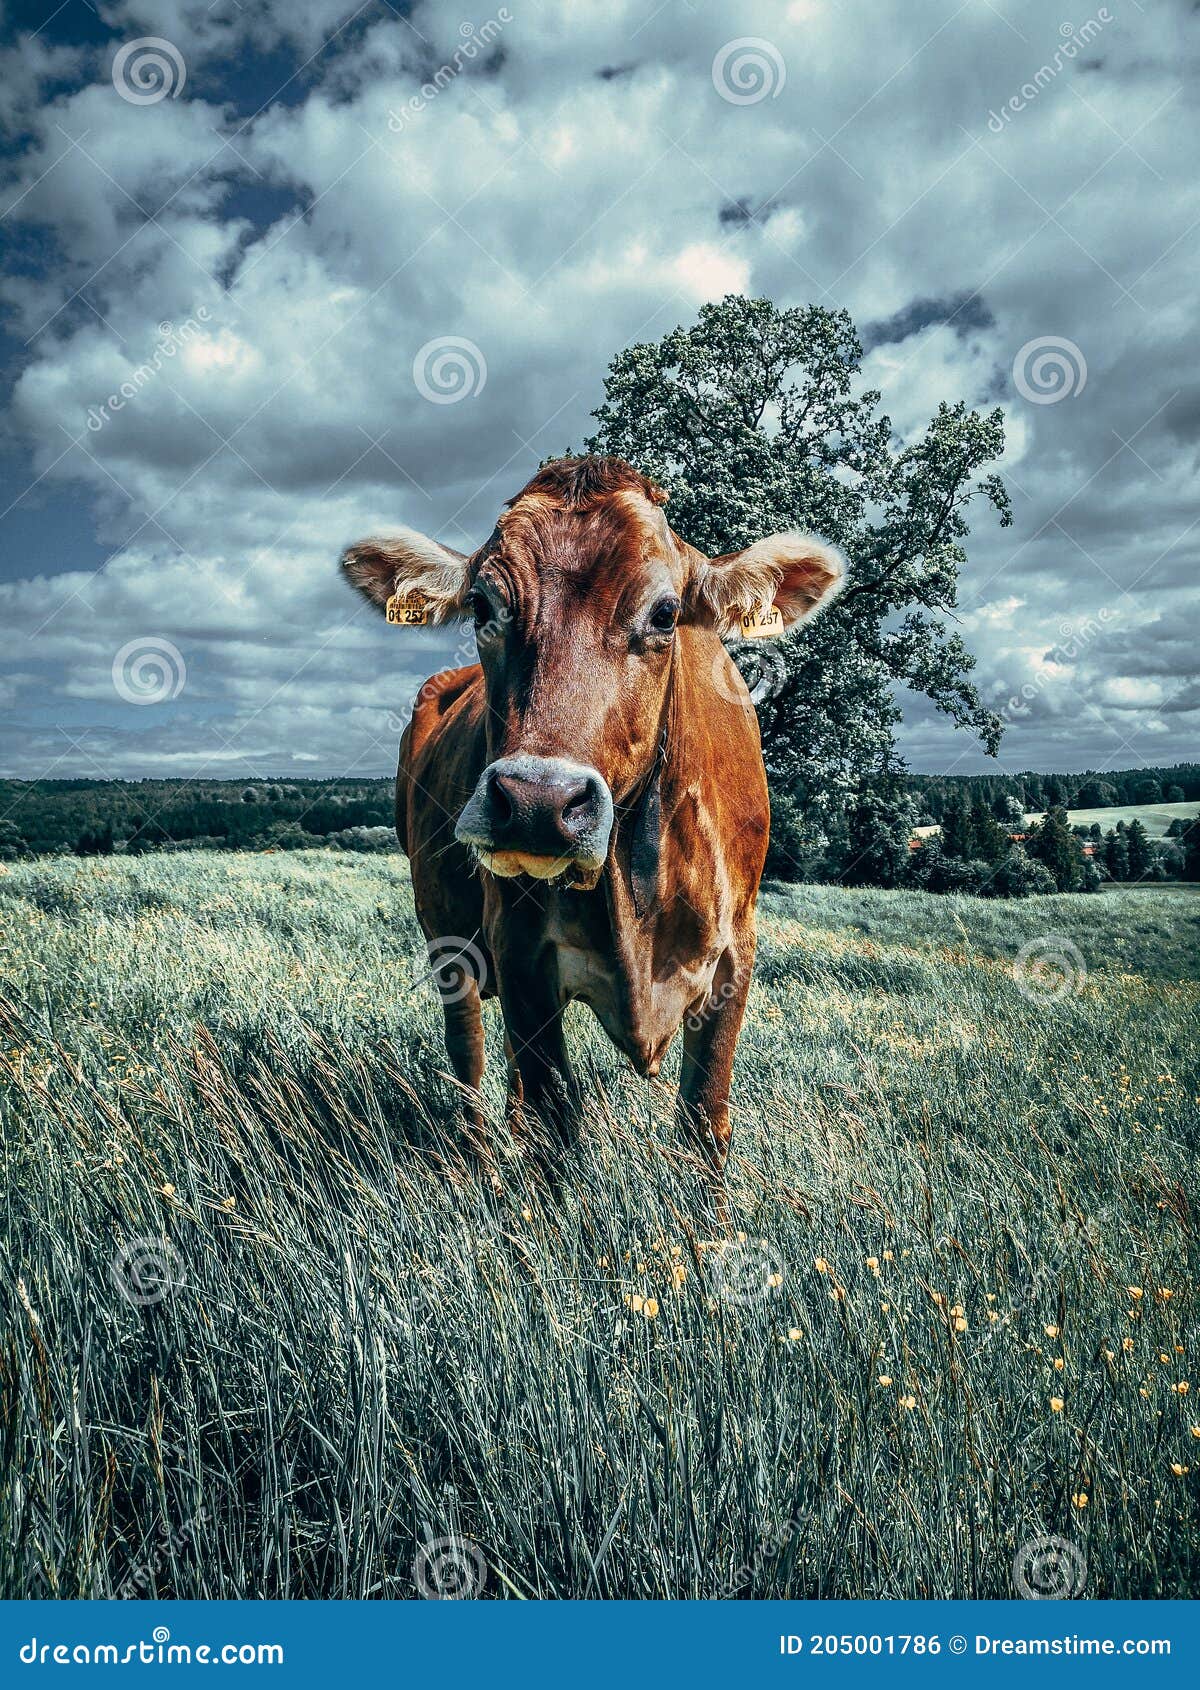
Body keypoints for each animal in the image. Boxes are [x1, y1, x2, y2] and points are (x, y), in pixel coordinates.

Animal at [341, 456, 845, 1179]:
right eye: (482, 606)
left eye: (666, 614)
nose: (536, 803)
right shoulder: (519, 950)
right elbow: (553, 1125)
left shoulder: (735, 955)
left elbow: (704, 1122)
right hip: (445, 934)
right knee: (468, 1054)